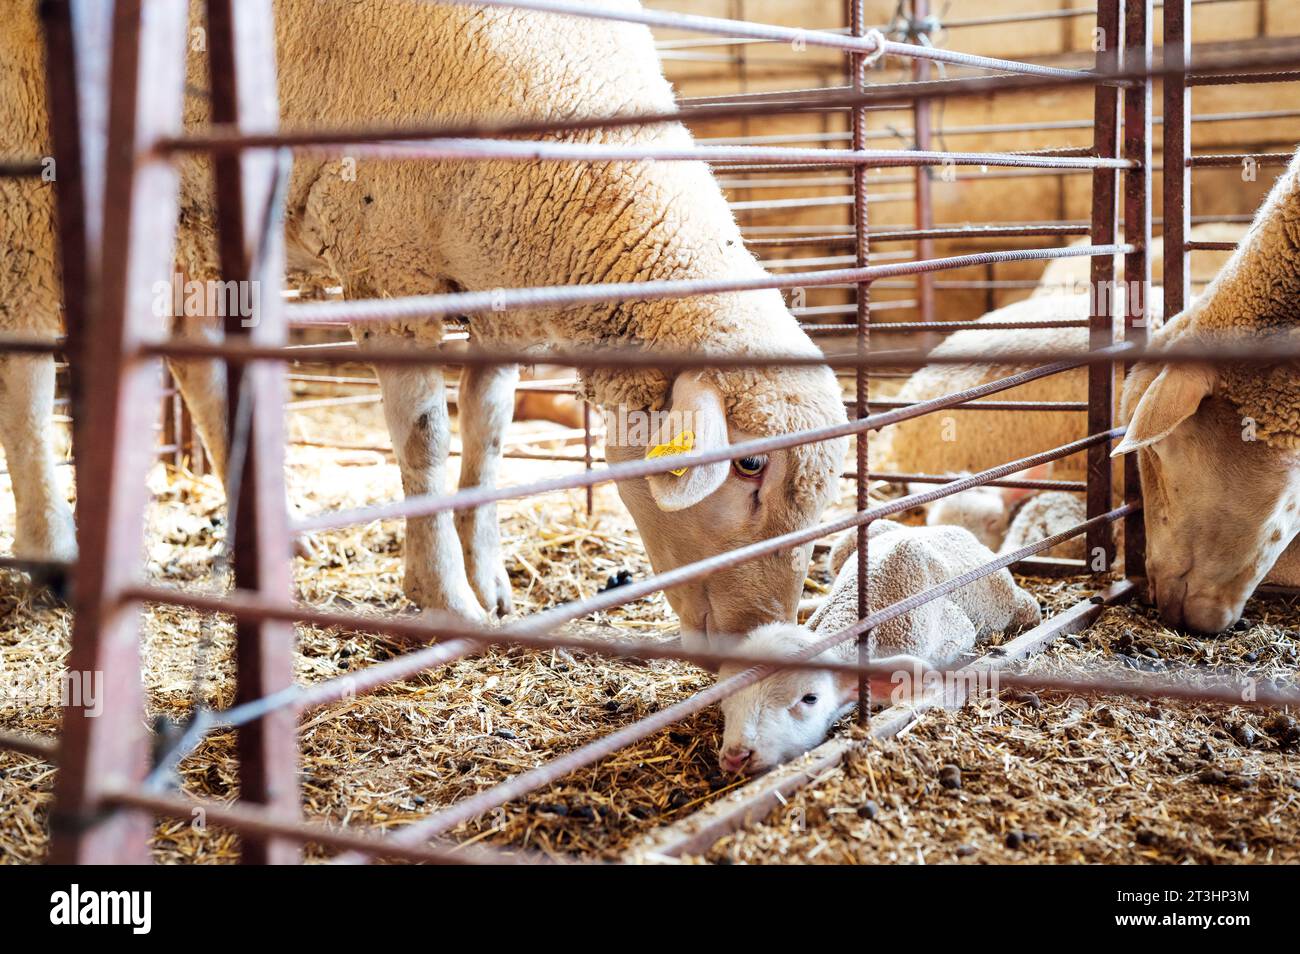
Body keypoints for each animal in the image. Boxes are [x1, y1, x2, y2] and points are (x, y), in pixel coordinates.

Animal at [3, 2, 848, 635]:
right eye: (751, 466)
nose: (762, 637)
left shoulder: (494, 289)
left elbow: (490, 430)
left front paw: (491, 581)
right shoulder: (388, 263)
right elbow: (426, 437)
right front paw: (445, 597)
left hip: (188, 212)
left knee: (187, 354)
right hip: (27, 167)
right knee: (27, 358)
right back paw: (53, 555)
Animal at [717, 520, 1041, 774]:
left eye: (810, 699)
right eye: (724, 701)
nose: (736, 756)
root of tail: (958, 531)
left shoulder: (957, 631)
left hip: (1017, 605)